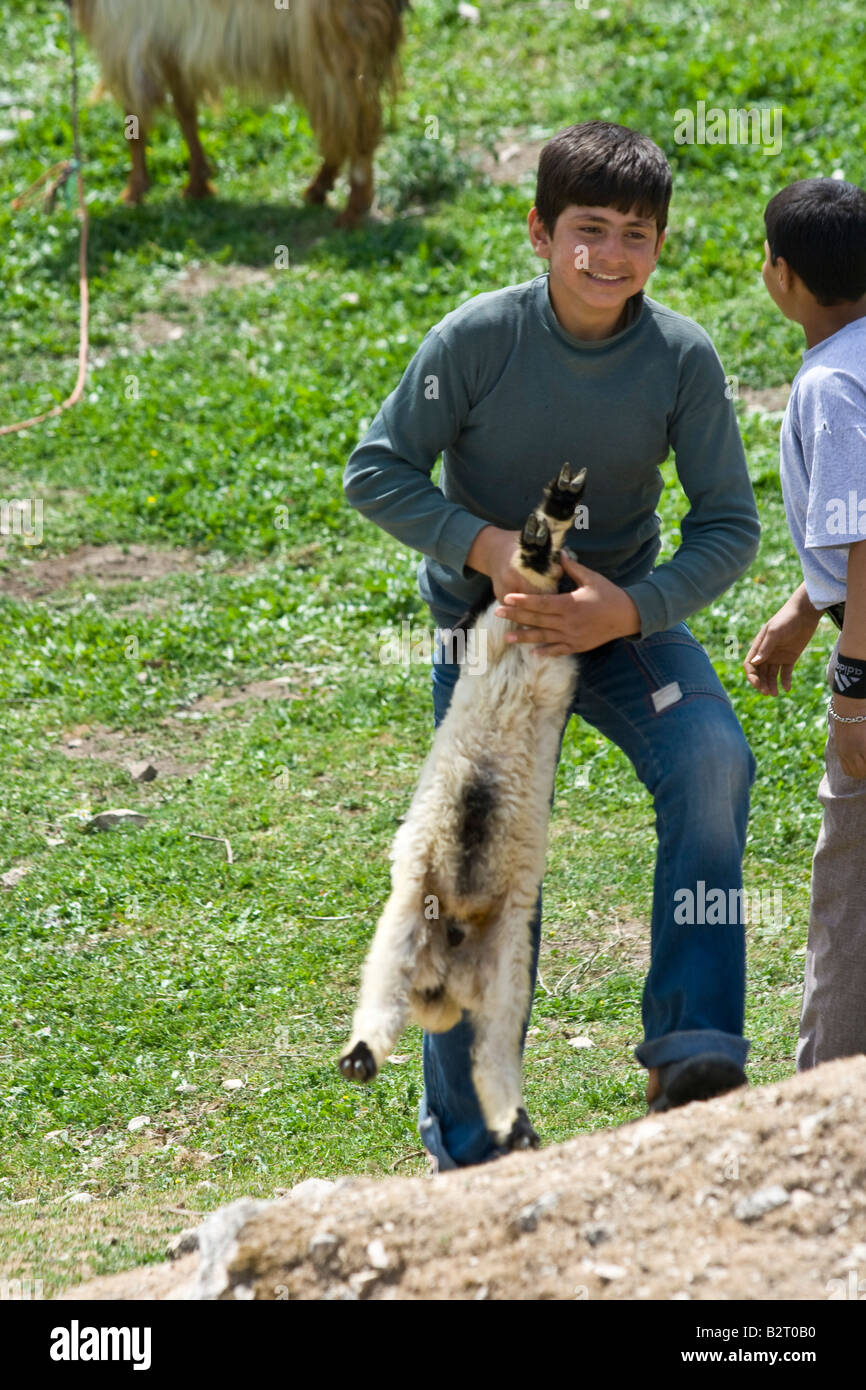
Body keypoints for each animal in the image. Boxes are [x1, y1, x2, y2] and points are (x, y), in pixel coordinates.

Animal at [71, 0, 409, 226]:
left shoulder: (125, 39)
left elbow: (135, 124)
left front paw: (133, 194)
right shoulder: (171, 44)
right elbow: (184, 111)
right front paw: (197, 184)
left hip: (333, 46)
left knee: (358, 122)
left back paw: (352, 210)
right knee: (344, 123)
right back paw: (319, 190)